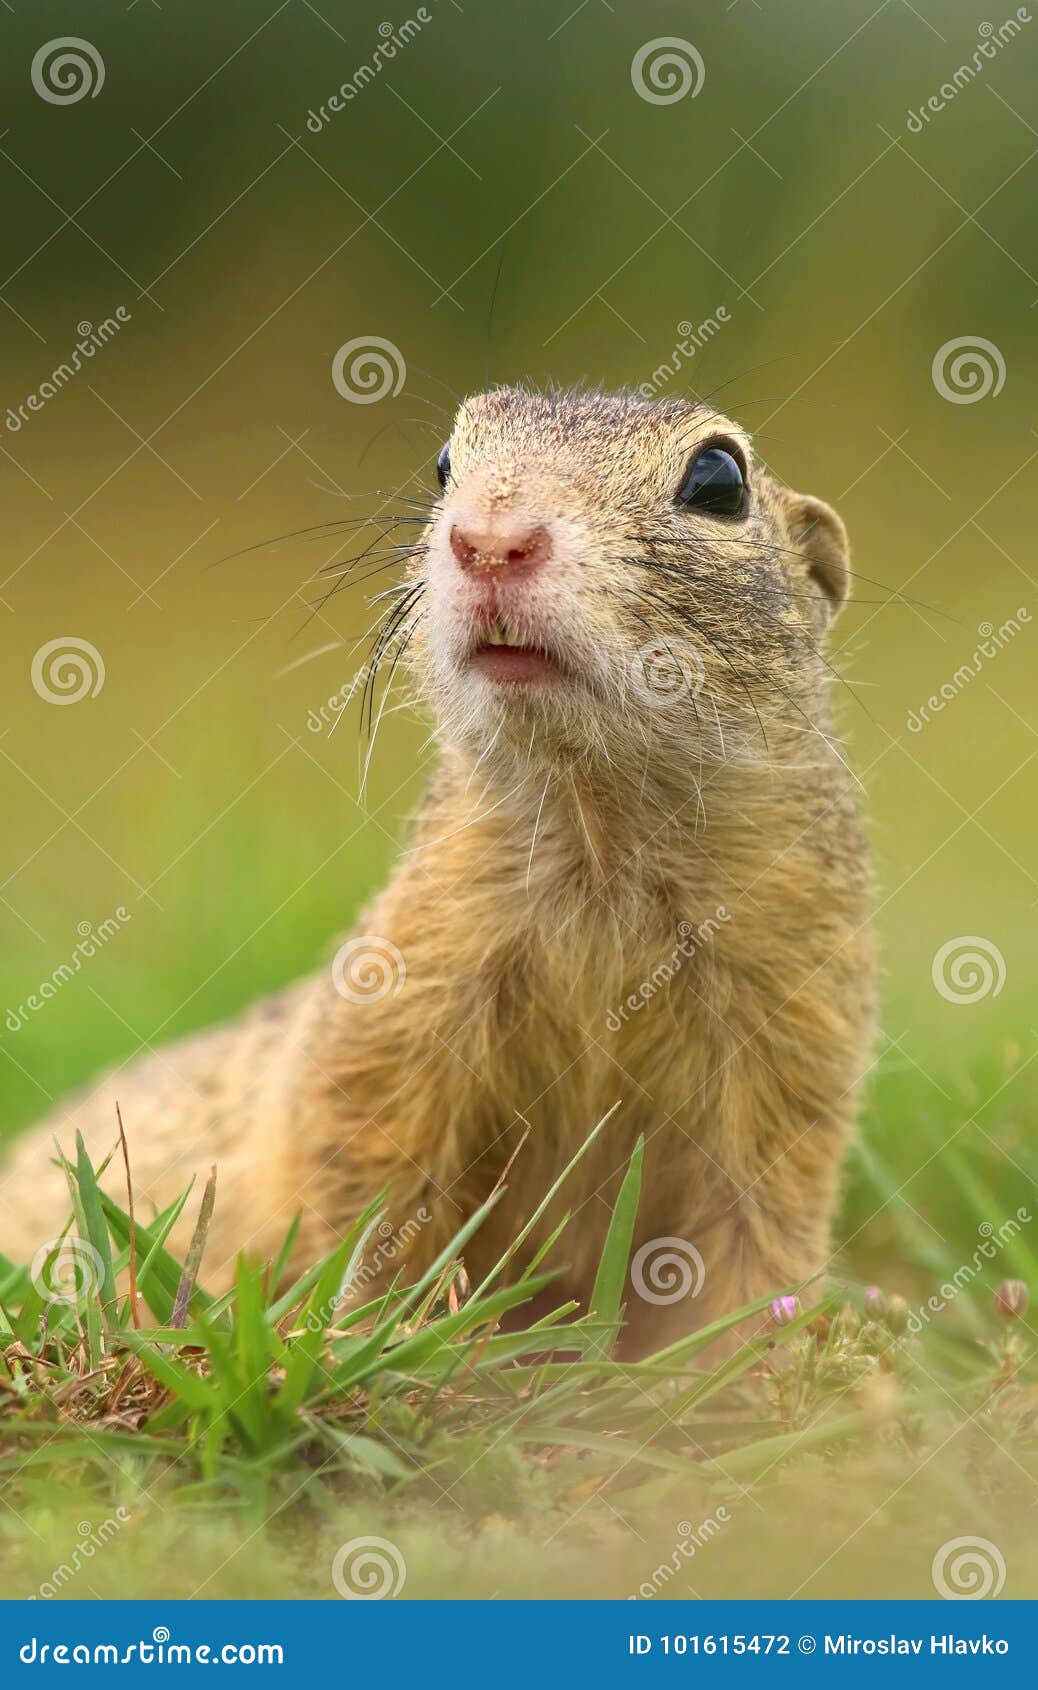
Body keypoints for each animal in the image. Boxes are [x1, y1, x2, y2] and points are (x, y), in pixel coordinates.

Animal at [1, 387, 875, 1355]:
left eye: (718, 480)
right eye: (445, 464)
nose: (491, 538)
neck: (600, 846)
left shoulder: (798, 1034)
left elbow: (756, 1242)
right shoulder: (393, 1002)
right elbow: (370, 1198)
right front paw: (370, 1335)